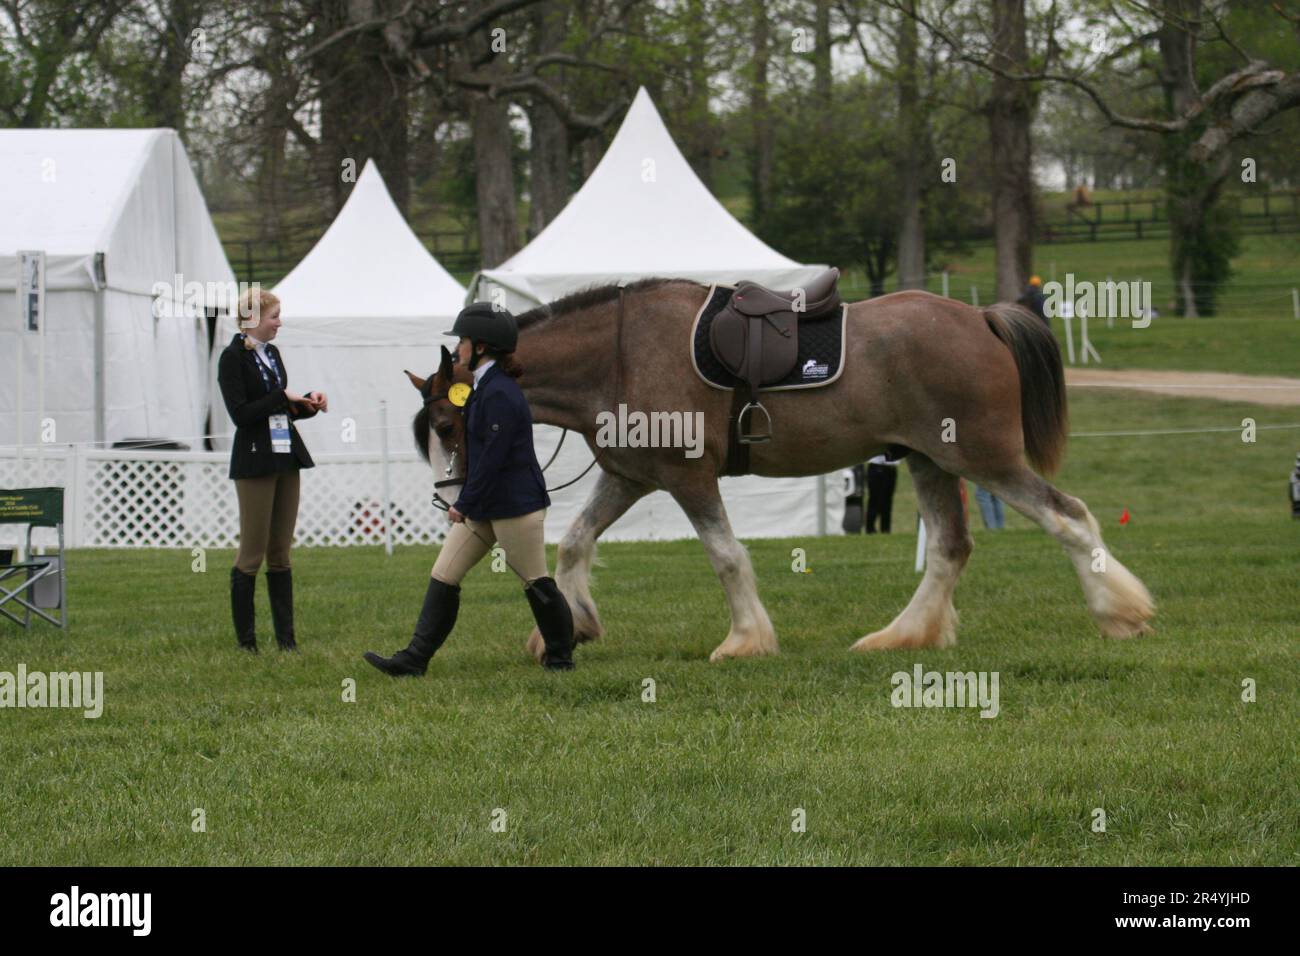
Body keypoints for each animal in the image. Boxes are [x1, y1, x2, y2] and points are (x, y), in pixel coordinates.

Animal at [408, 280, 1154, 663]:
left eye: (446, 426)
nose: (453, 504)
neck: (617, 353)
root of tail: (981, 317)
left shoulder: (687, 477)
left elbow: (726, 556)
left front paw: (745, 640)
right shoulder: (632, 477)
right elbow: (574, 544)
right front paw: (572, 625)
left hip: (981, 457)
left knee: (1068, 516)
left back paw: (1119, 613)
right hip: (931, 460)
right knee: (950, 547)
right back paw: (903, 634)